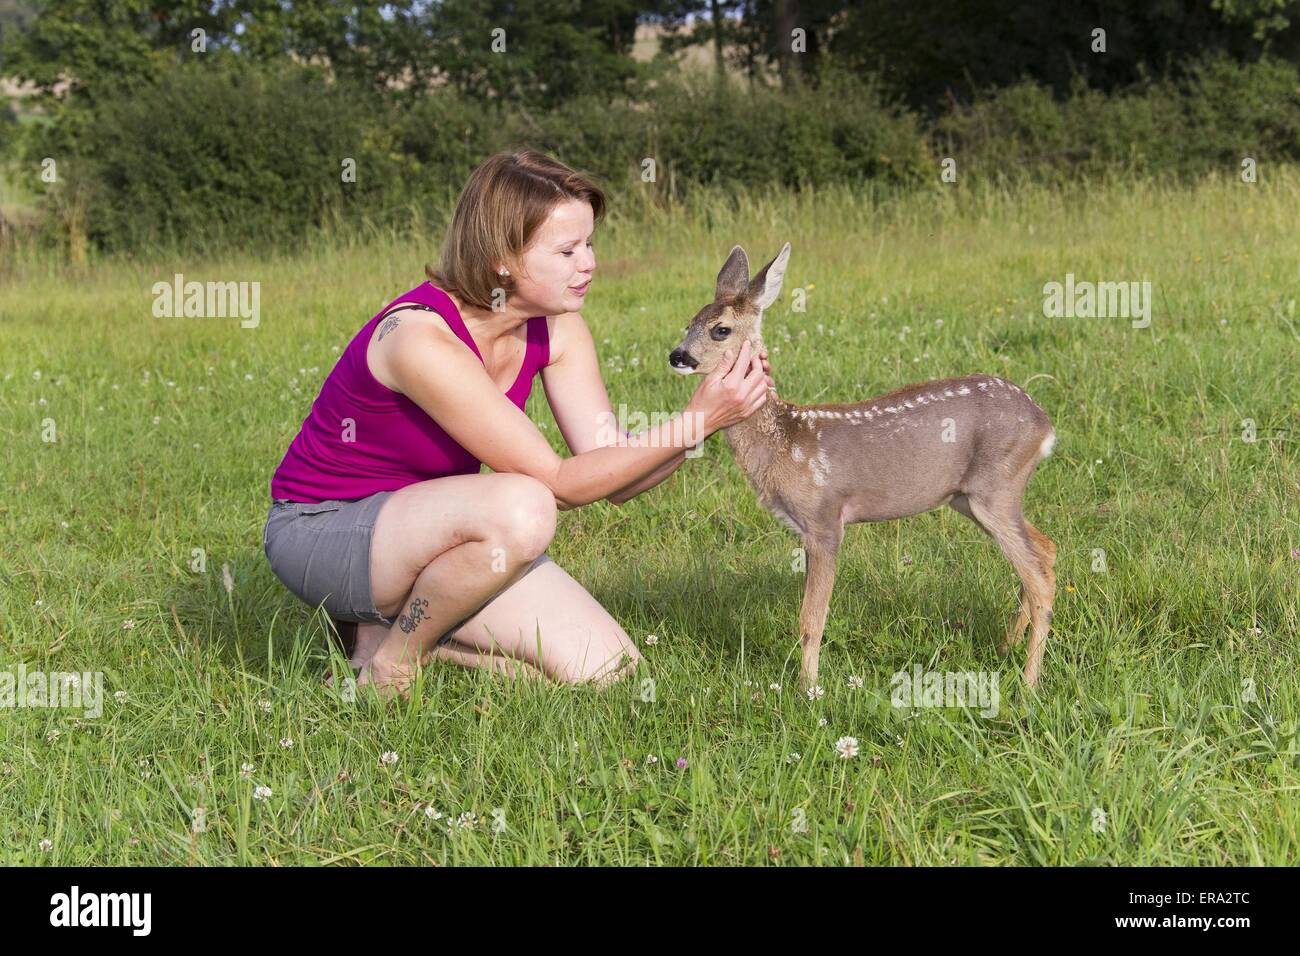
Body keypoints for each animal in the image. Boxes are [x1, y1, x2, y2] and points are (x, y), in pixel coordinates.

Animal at [668, 243, 1058, 691]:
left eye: (720, 329)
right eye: (689, 323)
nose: (677, 356)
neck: (784, 442)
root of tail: (1044, 425)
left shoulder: (825, 519)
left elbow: (811, 619)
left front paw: (808, 690)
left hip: (995, 487)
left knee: (1039, 576)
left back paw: (1029, 682)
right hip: (974, 497)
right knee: (1046, 551)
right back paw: (1006, 648)